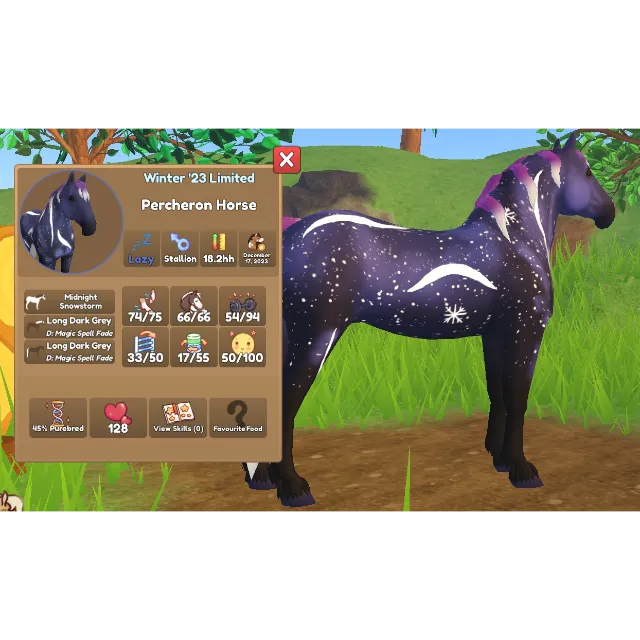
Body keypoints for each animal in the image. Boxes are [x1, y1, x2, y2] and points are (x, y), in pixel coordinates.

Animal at [244, 133, 615, 507]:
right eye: (587, 172)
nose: (609, 214)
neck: (514, 242)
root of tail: (292, 235)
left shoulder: (495, 334)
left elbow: (497, 391)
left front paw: (499, 459)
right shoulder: (525, 332)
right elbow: (517, 396)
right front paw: (522, 470)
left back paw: (264, 479)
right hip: (316, 335)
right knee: (286, 403)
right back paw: (292, 488)